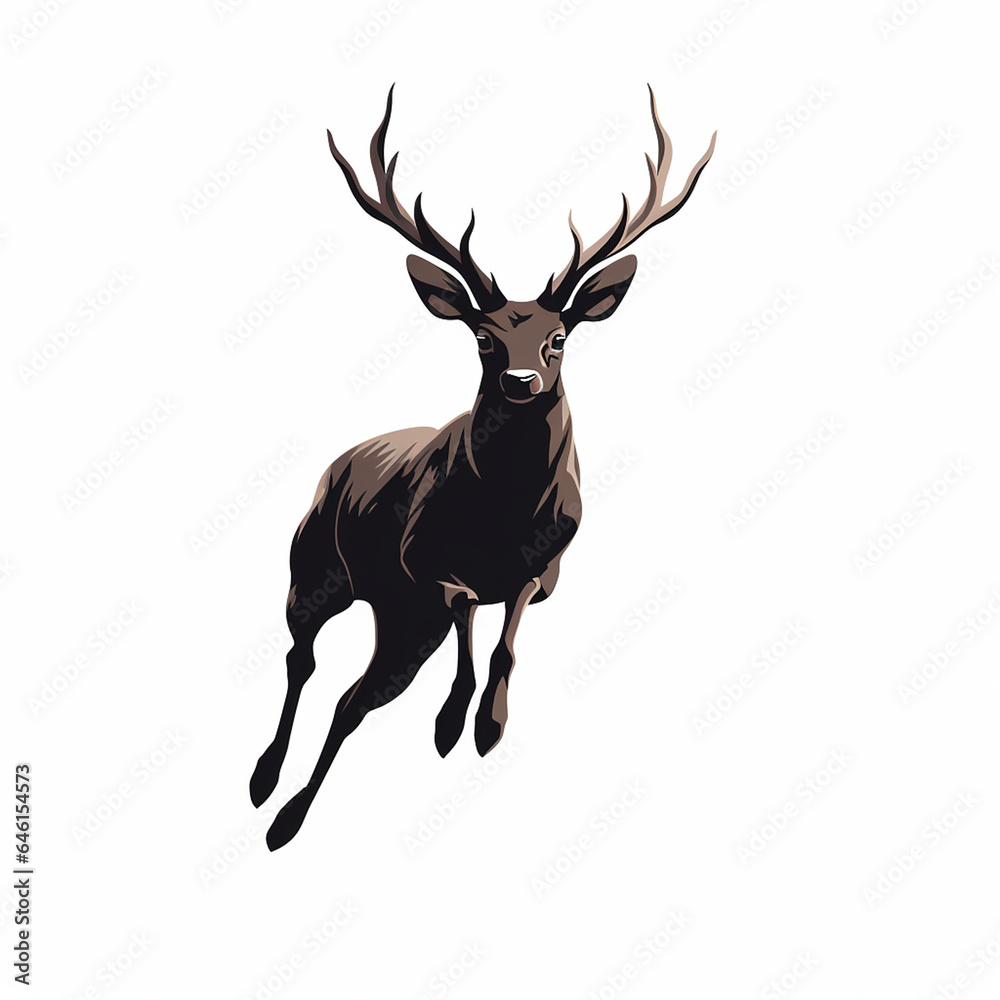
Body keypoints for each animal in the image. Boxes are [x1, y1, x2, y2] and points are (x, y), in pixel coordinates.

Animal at [250, 85, 715, 850]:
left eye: (558, 338)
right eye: (483, 338)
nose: (522, 381)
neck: (507, 516)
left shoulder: (544, 572)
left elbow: (505, 641)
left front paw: (486, 727)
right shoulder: (423, 566)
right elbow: (466, 609)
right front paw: (450, 722)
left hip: (393, 617)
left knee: (351, 699)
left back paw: (284, 813)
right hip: (315, 568)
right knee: (303, 659)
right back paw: (266, 785)